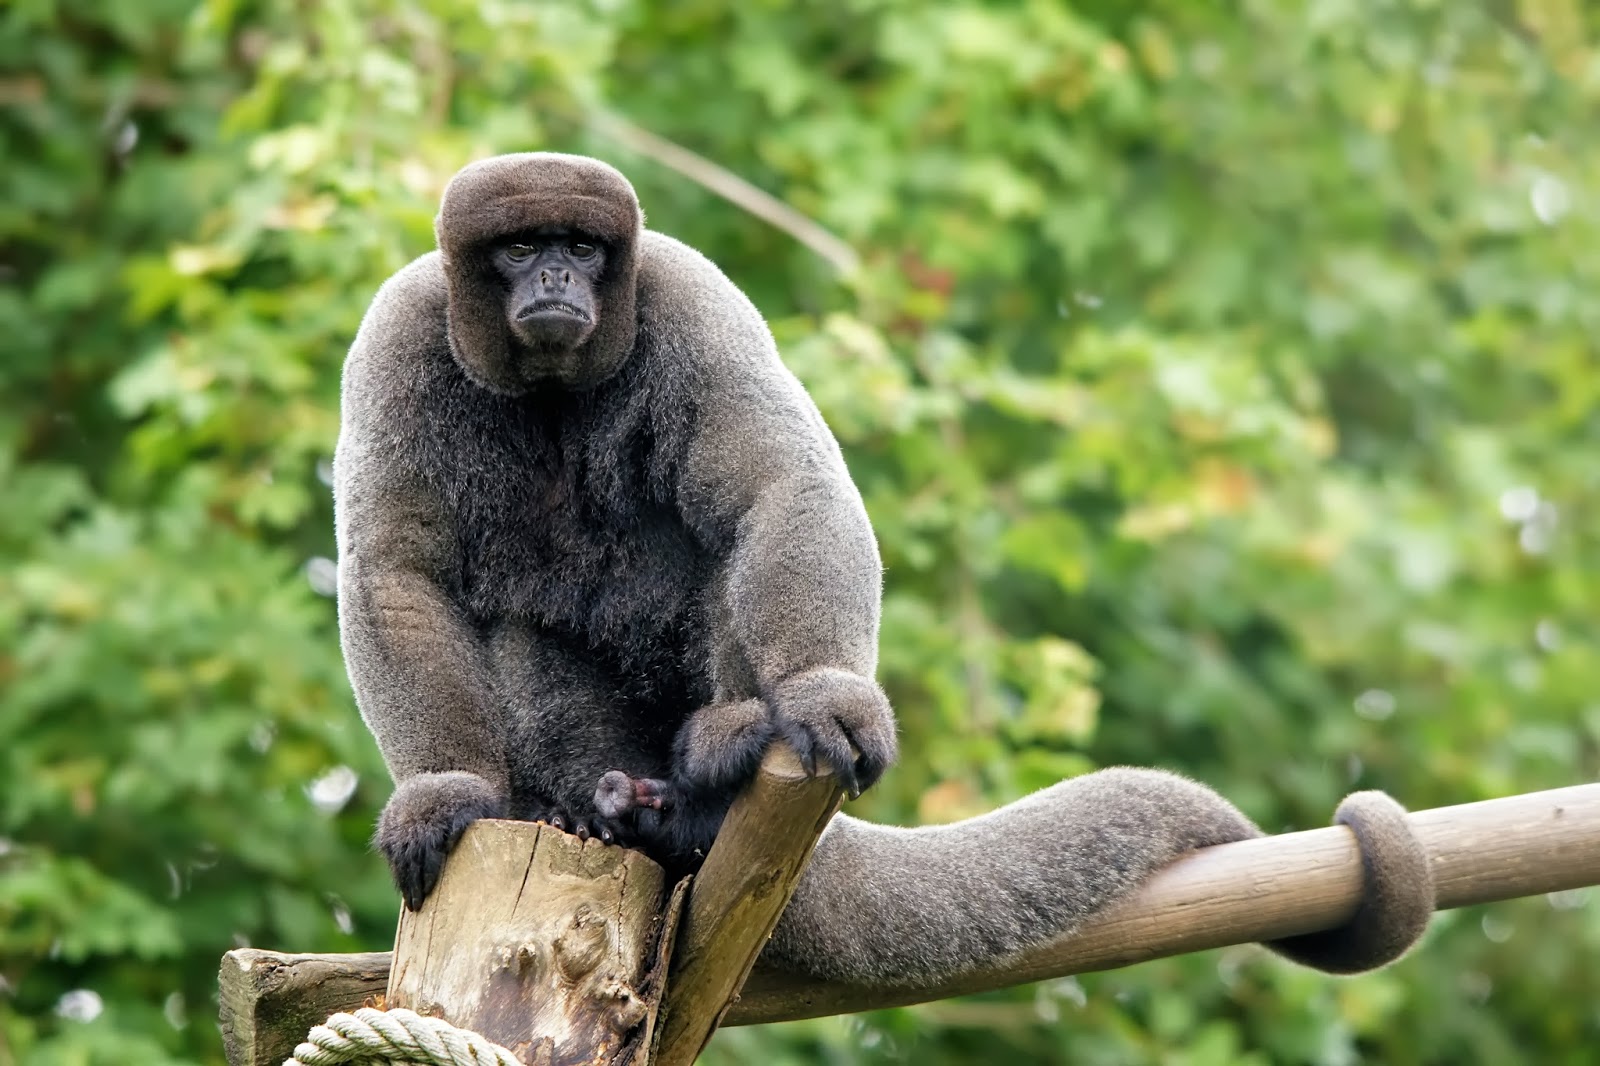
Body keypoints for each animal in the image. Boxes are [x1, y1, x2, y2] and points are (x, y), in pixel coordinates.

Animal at [334, 152, 1435, 988]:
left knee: (733, 550)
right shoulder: (396, 333)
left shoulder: (686, 297)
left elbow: (781, 486)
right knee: (527, 634)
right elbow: (394, 570)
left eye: (584, 248)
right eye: (522, 248)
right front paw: (445, 792)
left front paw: (824, 696)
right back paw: (604, 810)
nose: (557, 283)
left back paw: (711, 781)